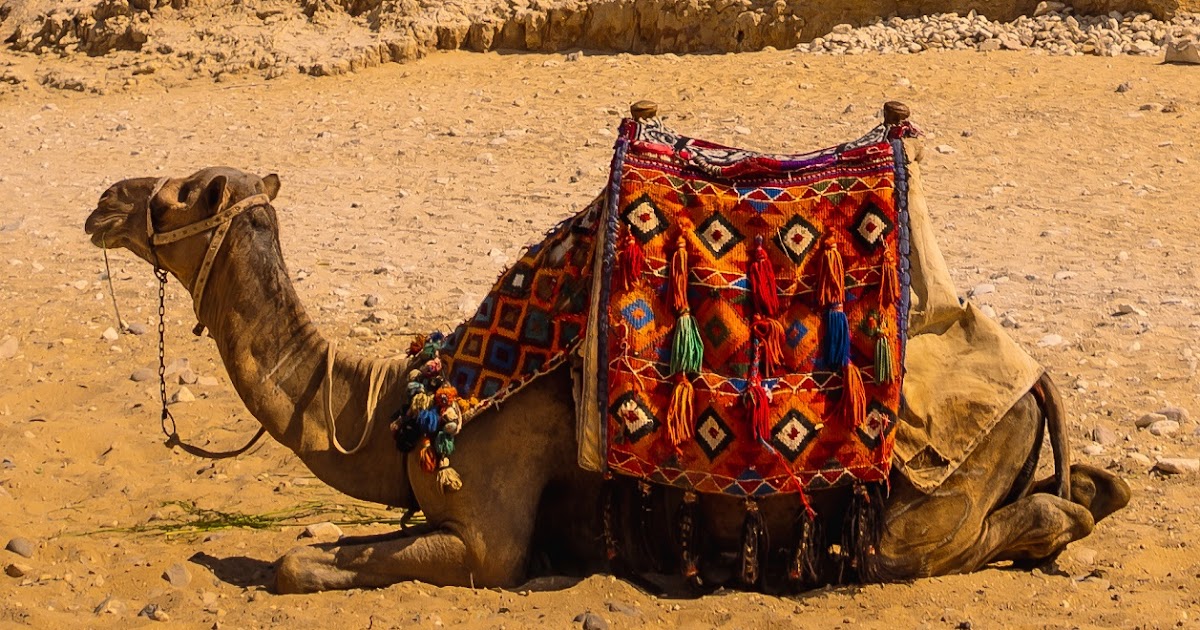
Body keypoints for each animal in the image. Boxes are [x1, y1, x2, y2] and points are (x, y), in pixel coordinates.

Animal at [84, 162, 1130, 594]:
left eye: (175, 193)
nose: (102, 202)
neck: (403, 403)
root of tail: (1036, 377)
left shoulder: (490, 530)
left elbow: (301, 565)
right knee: (1079, 489)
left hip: (928, 493)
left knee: (954, 537)